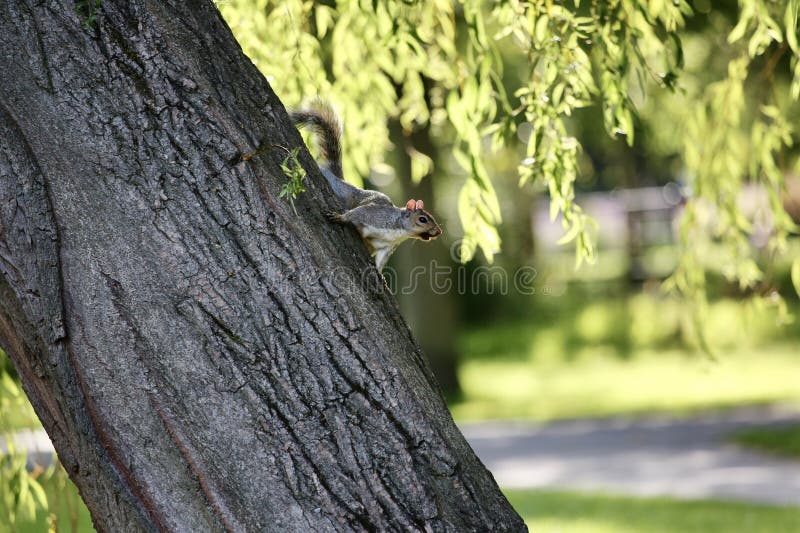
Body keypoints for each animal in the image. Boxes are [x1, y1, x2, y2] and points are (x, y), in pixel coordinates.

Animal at [290, 104, 442, 272]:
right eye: (423, 219)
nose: (439, 232)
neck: (398, 232)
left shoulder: (386, 247)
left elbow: (381, 261)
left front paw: (381, 274)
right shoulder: (375, 215)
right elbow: (357, 213)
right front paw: (339, 217)